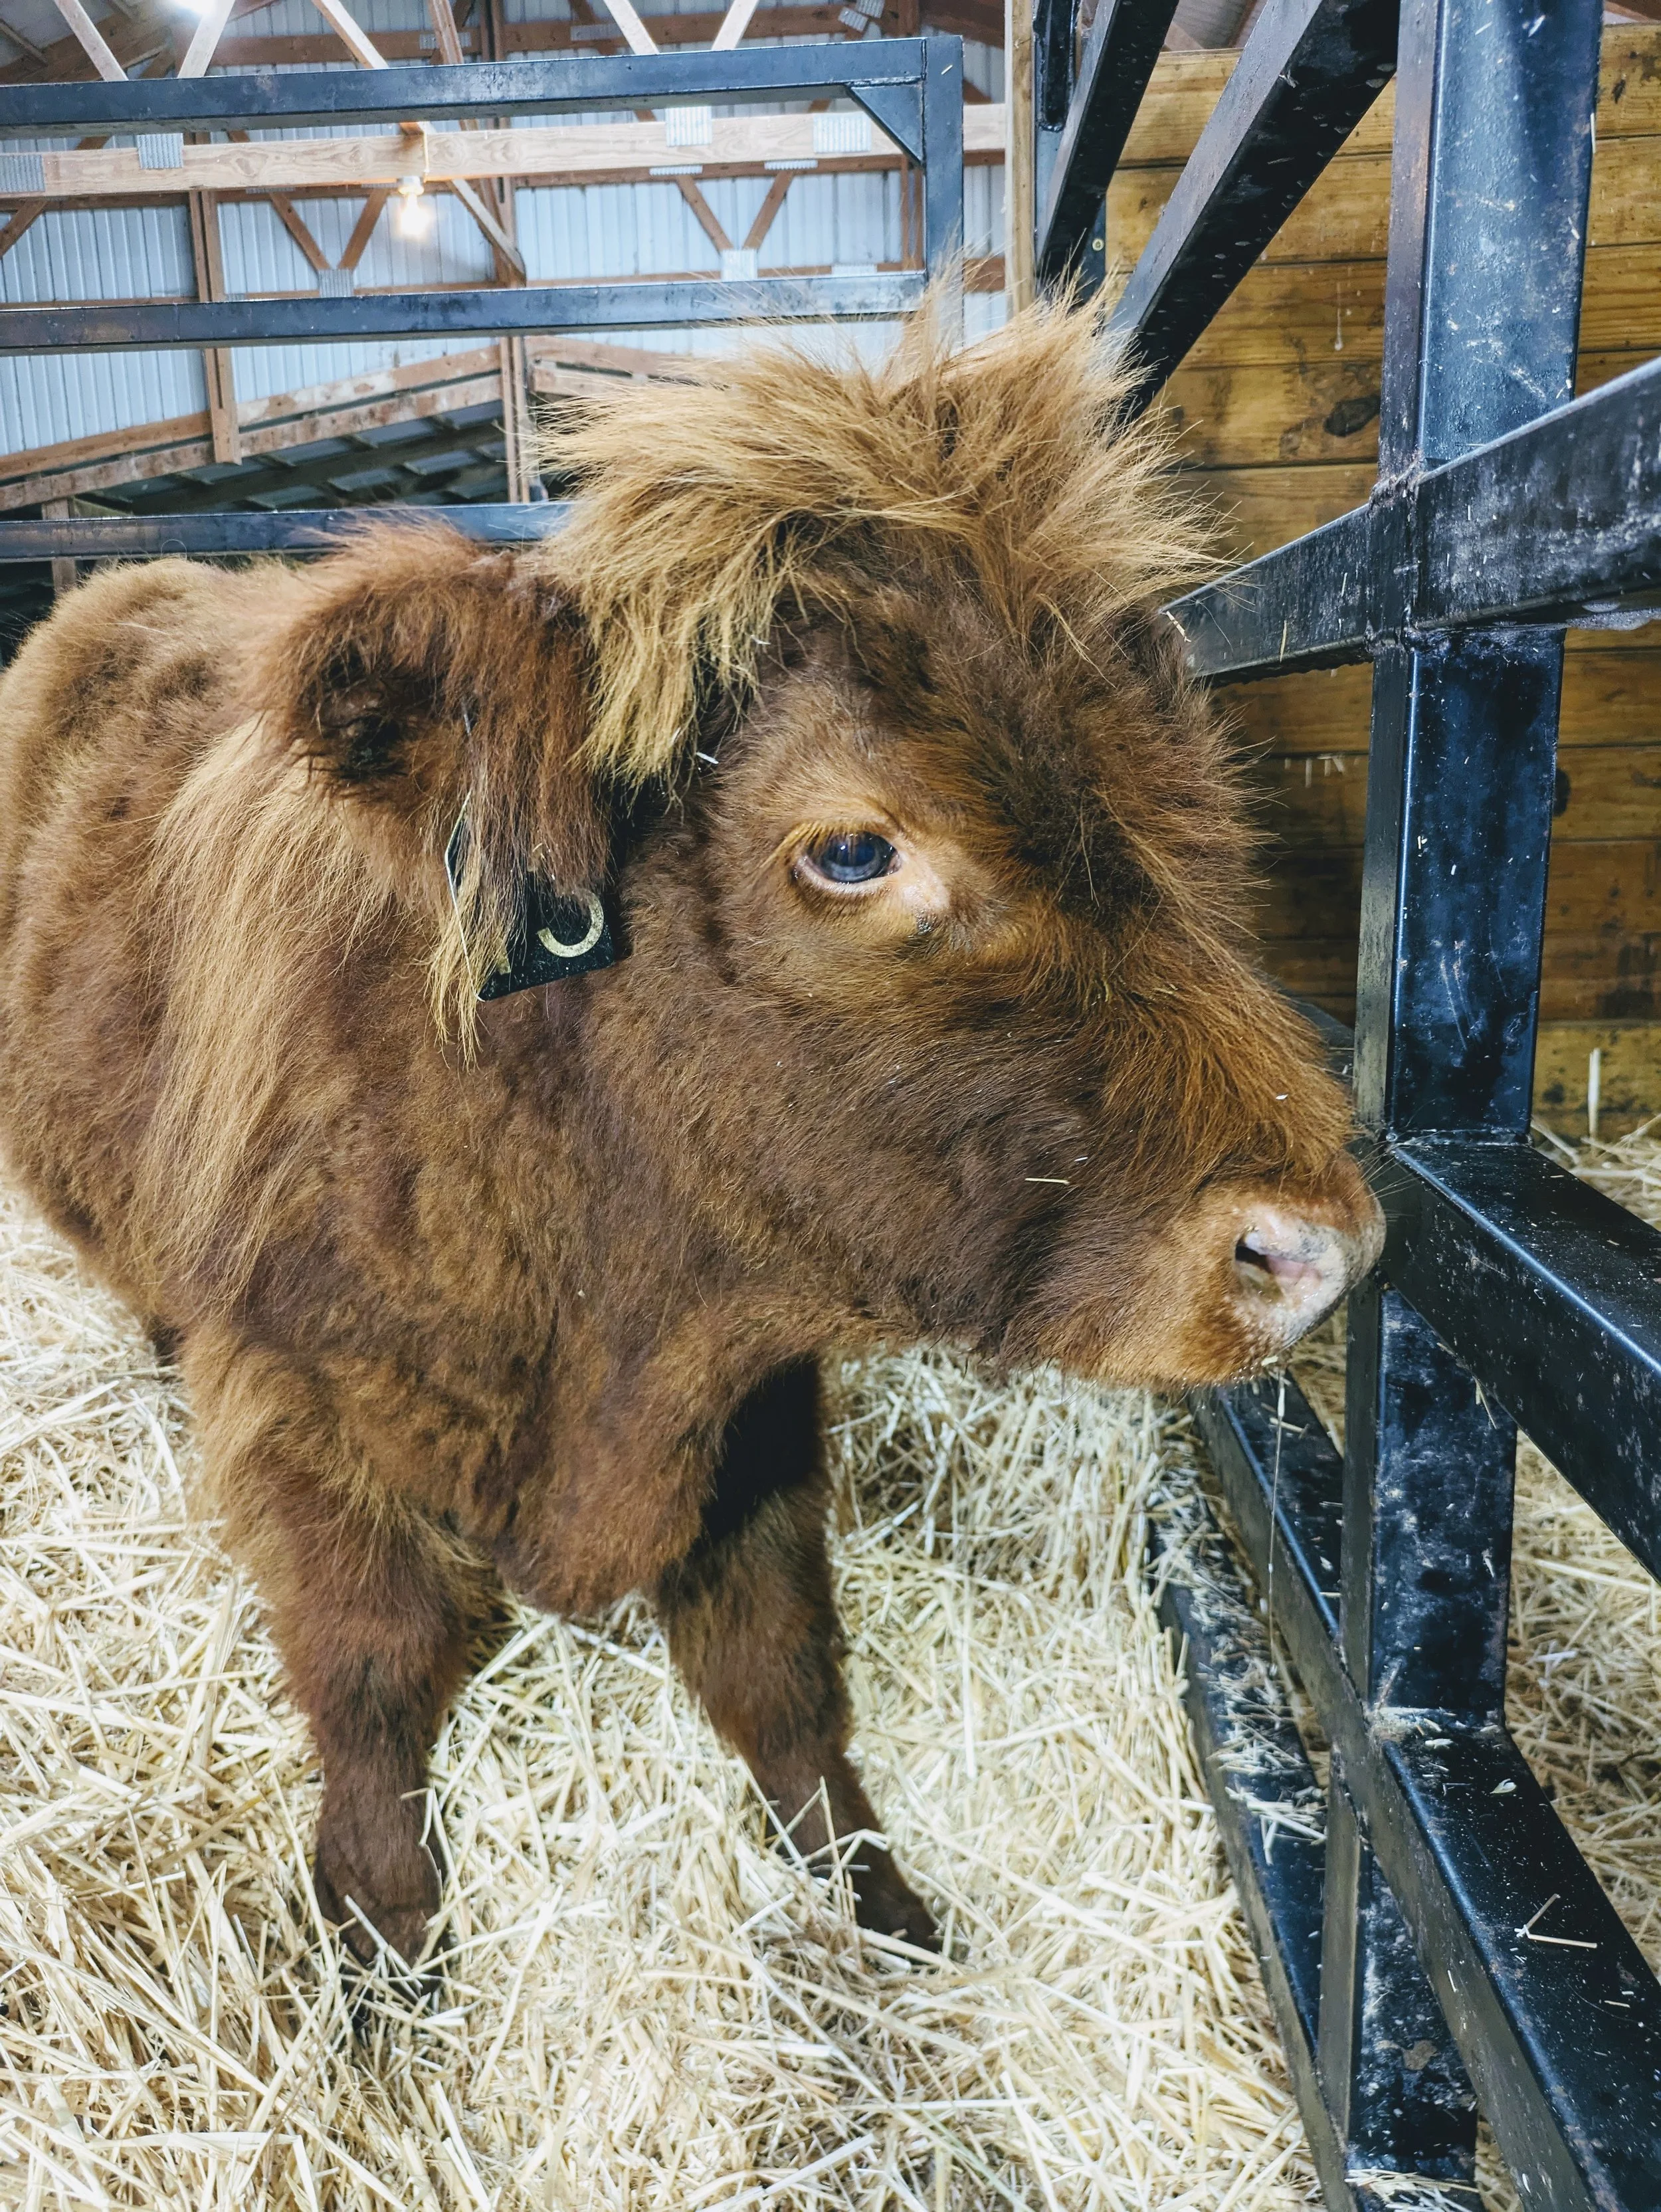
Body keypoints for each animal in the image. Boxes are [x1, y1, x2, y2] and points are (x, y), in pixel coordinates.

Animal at [0, 302, 1381, 1969]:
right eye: (850, 847)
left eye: (1175, 790)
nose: (1310, 1249)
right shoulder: (300, 1398)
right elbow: (374, 1676)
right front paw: (384, 1943)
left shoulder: (754, 1400)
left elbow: (776, 1663)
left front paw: (875, 1896)